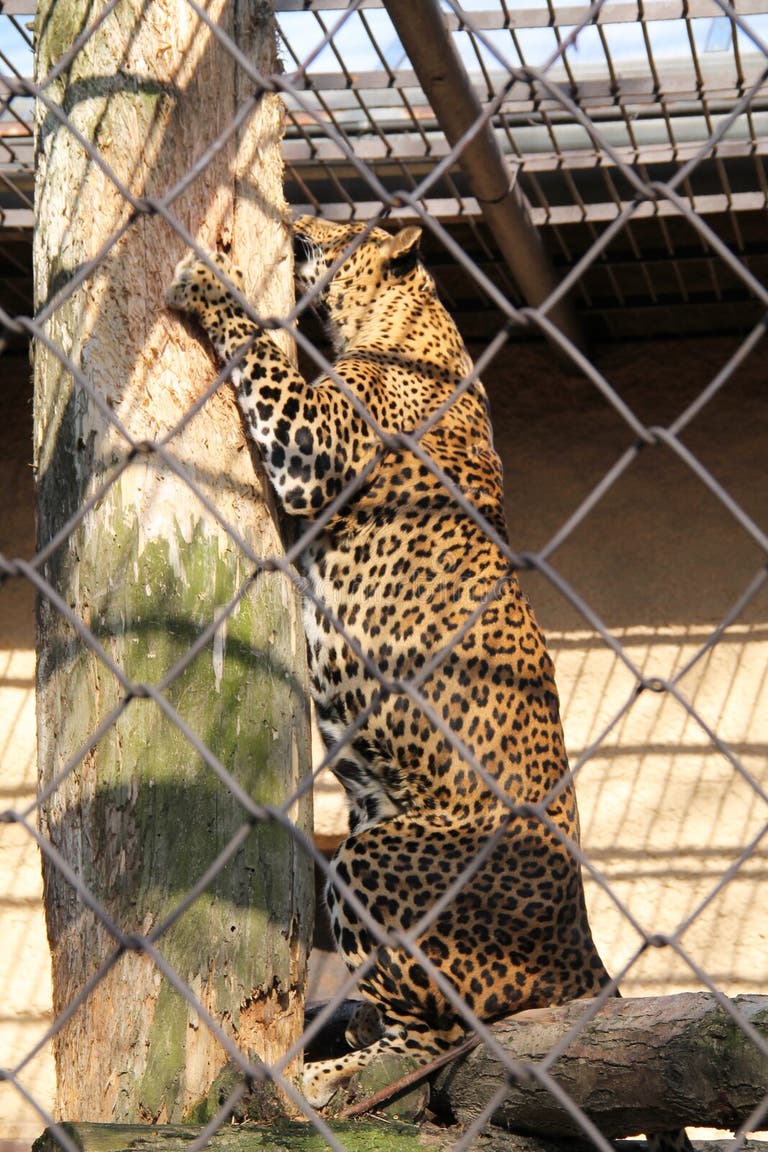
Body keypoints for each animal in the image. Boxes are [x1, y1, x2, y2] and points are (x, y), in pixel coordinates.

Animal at [166, 217, 692, 1150]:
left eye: (328, 229)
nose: (294, 223)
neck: (408, 323)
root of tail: (583, 948)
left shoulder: (316, 438)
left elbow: (260, 350)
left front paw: (206, 282)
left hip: (385, 858)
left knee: (438, 1040)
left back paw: (323, 1075)